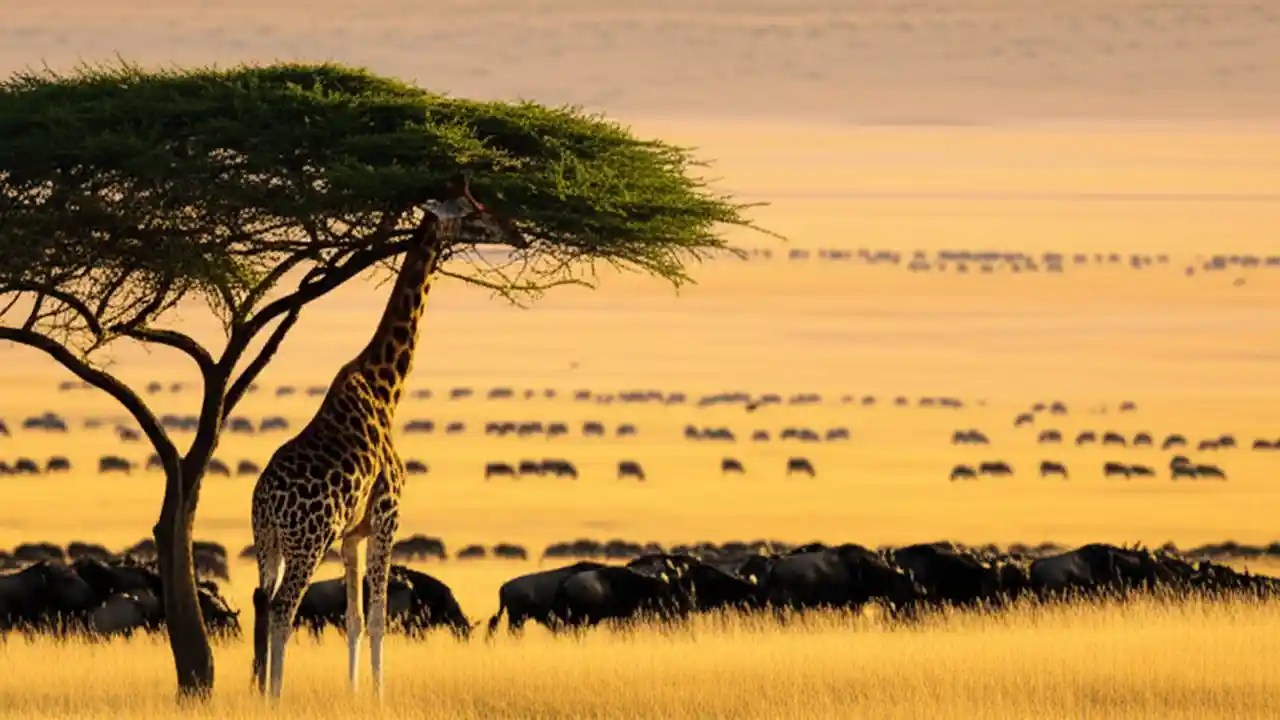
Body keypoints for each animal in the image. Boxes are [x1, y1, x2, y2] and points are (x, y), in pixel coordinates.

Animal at [250, 182, 521, 699]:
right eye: (473, 212)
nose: (515, 231)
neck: (385, 386)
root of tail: (267, 499)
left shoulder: (353, 533)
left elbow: (355, 619)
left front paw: (355, 693)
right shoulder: (387, 515)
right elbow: (378, 619)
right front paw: (380, 695)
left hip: (267, 542)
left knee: (261, 602)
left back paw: (262, 691)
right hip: (306, 541)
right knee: (282, 608)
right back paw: (275, 698)